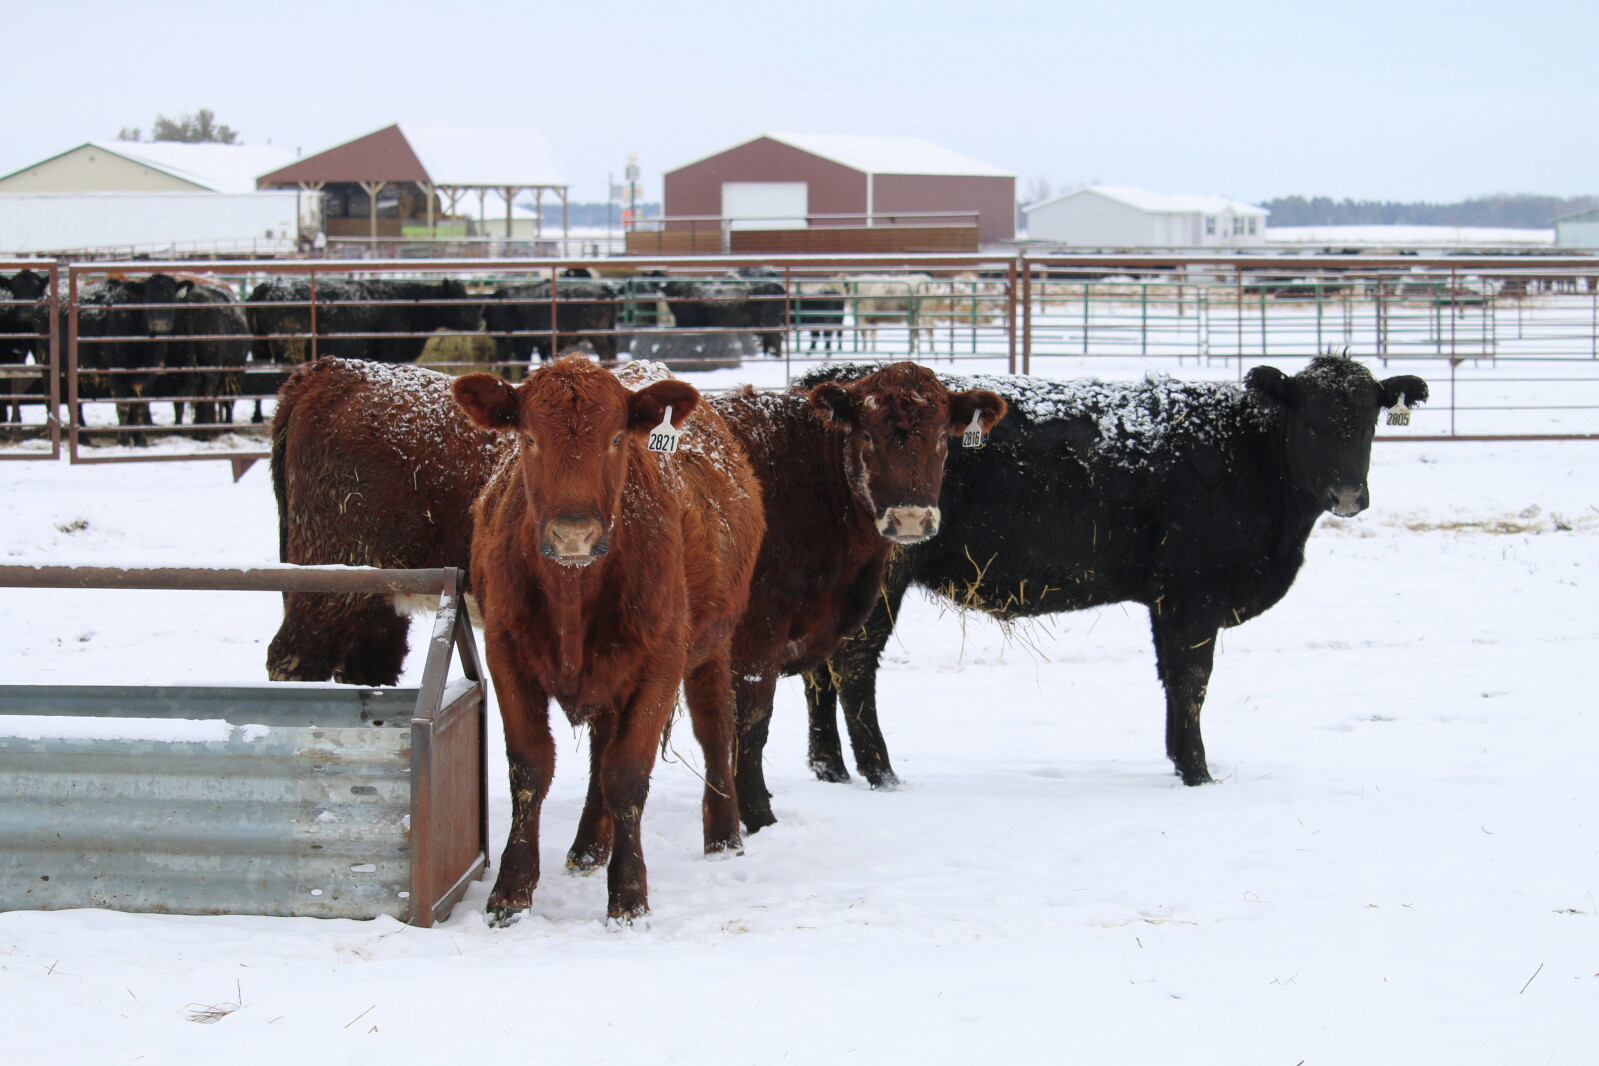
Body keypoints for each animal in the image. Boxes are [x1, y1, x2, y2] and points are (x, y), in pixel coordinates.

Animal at [452, 356, 765, 924]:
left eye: (617, 437)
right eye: (528, 437)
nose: (573, 533)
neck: (573, 594)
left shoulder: (662, 661)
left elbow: (626, 772)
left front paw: (628, 893)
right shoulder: (506, 653)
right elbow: (530, 766)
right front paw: (511, 890)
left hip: (711, 646)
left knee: (714, 729)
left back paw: (723, 836)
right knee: (601, 746)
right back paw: (587, 848)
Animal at [717, 362, 1008, 831]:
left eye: (943, 436)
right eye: (868, 435)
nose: (911, 518)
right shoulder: (756, 633)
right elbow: (751, 724)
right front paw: (758, 816)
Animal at [803, 354, 1429, 790]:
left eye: (1369, 422)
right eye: (1314, 424)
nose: (1347, 495)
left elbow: (1177, 680)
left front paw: (1181, 760)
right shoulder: (1190, 594)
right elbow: (1191, 679)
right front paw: (1197, 772)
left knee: (821, 670)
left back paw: (829, 767)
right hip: (886, 573)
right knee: (853, 665)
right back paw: (882, 774)